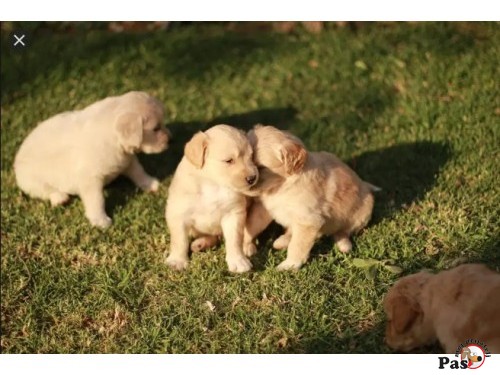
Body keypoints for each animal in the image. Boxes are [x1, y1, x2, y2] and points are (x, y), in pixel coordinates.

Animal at [14, 92, 170, 229]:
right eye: (156, 128)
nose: (170, 139)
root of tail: (17, 159)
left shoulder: (128, 161)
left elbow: (139, 172)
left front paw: (150, 184)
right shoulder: (90, 180)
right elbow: (97, 200)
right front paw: (100, 220)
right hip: (32, 181)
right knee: (46, 191)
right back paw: (59, 197)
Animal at [165, 125, 258, 274]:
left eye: (251, 157)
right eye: (229, 160)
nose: (252, 178)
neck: (212, 183)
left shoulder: (233, 214)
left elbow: (235, 240)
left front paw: (238, 261)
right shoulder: (178, 213)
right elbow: (179, 240)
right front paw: (177, 260)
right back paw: (200, 244)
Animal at [243, 125, 378, 270]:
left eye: (260, 167)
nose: (248, 180)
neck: (281, 186)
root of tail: (365, 185)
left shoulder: (308, 220)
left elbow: (297, 245)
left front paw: (289, 265)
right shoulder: (264, 210)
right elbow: (252, 225)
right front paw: (244, 245)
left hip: (363, 212)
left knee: (343, 231)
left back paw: (344, 244)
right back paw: (282, 240)